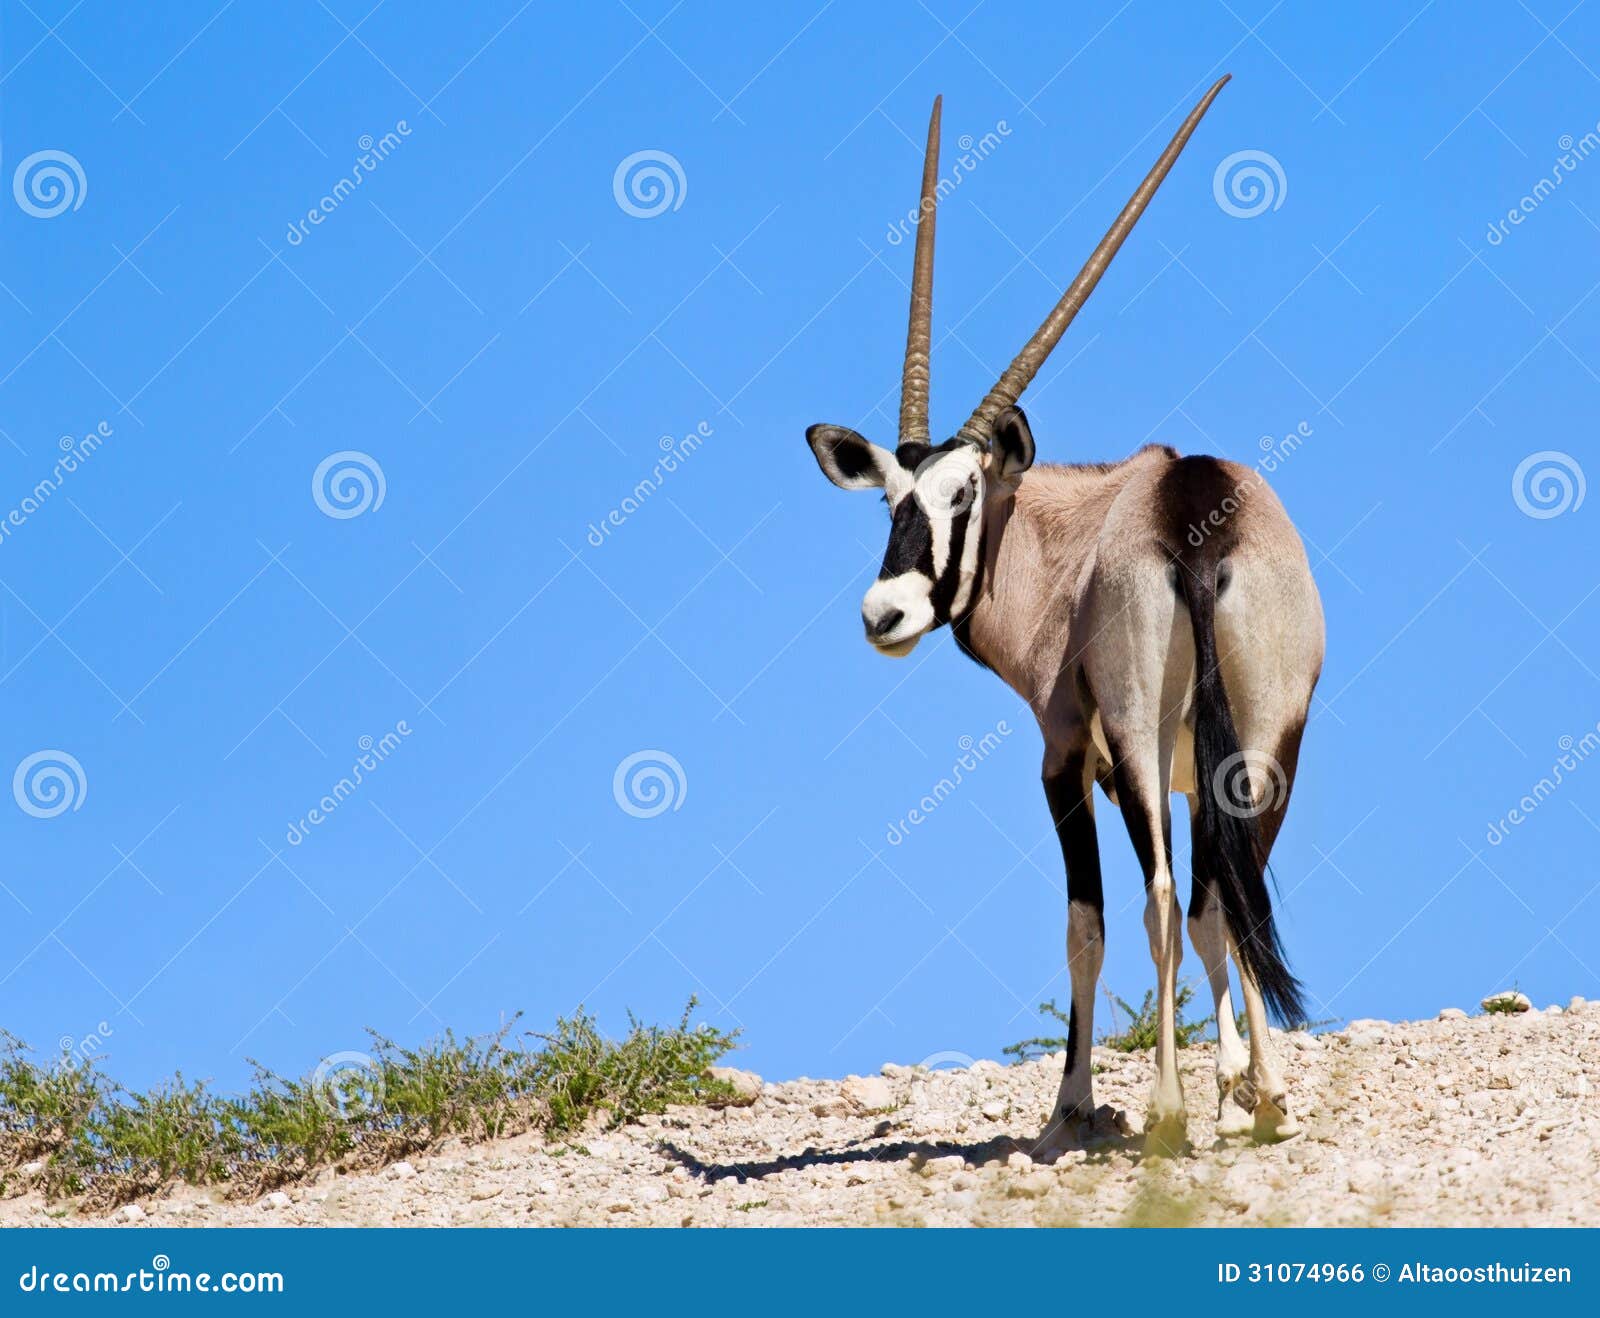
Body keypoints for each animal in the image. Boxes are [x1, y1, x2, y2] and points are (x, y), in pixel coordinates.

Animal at [805, 77, 1324, 1155]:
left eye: (962, 496)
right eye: (891, 502)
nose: (885, 611)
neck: (1071, 532)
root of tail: (1192, 509)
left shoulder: (1063, 754)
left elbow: (1090, 921)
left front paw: (1074, 1107)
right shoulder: (1201, 774)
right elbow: (1221, 908)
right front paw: (1238, 1087)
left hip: (1133, 740)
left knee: (1158, 900)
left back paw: (1164, 1114)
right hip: (1268, 741)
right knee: (1237, 892)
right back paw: (1268, 1099)